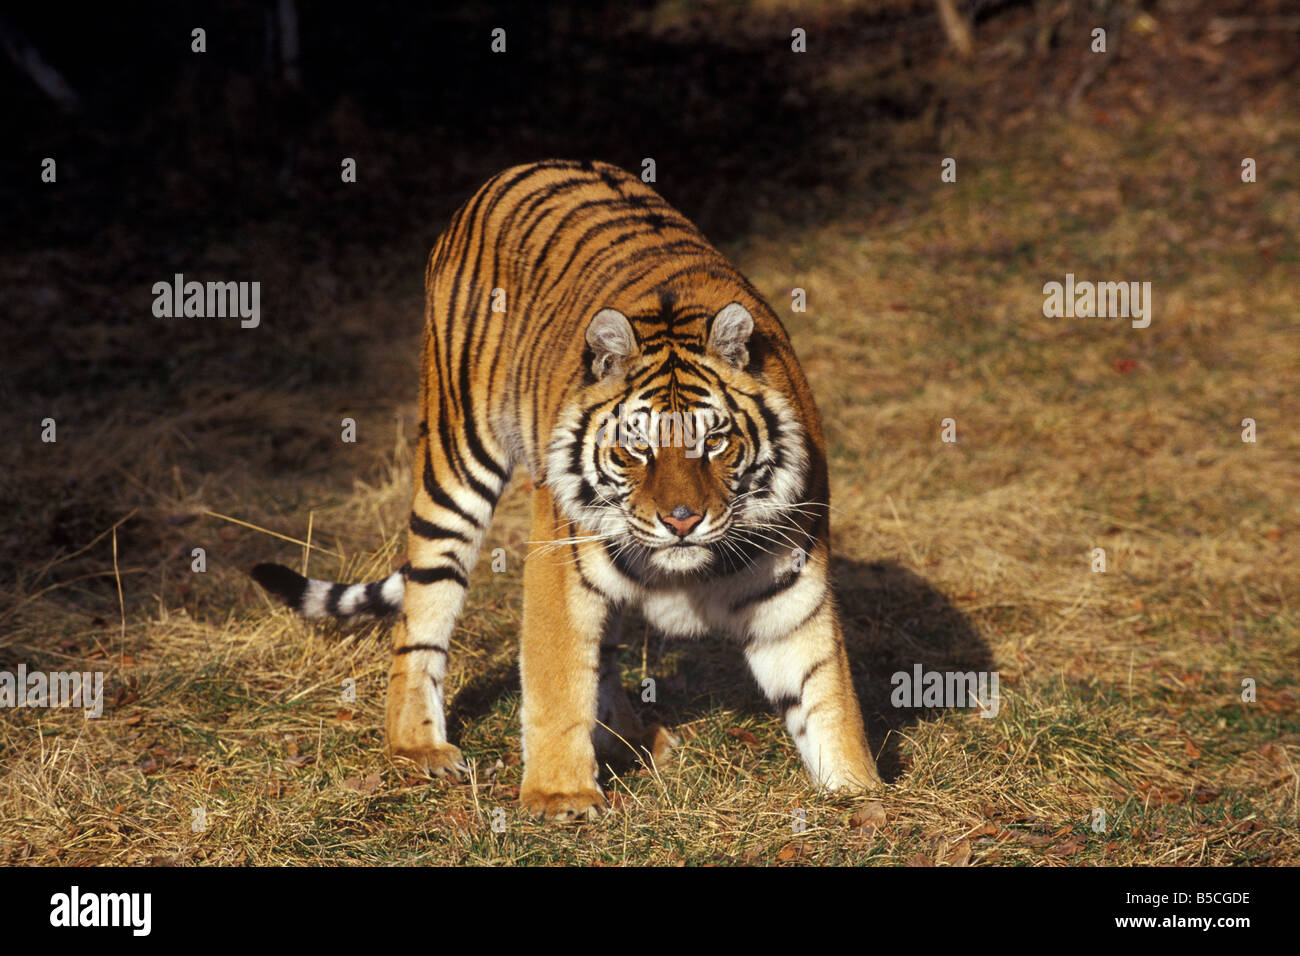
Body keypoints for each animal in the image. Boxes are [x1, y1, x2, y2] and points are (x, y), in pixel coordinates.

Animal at [251, 159, 882, 821]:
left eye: (713, 442)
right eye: (636, 445)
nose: (682, 520)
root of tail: (528, 165)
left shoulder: (793, 585)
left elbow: (826, 692)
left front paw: (861, 794)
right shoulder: (559, 559)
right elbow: (556, 680)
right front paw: (561, 797)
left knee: (600, 653)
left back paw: (632, 738)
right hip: (455, 454)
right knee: (423, 612)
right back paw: (419, 747)